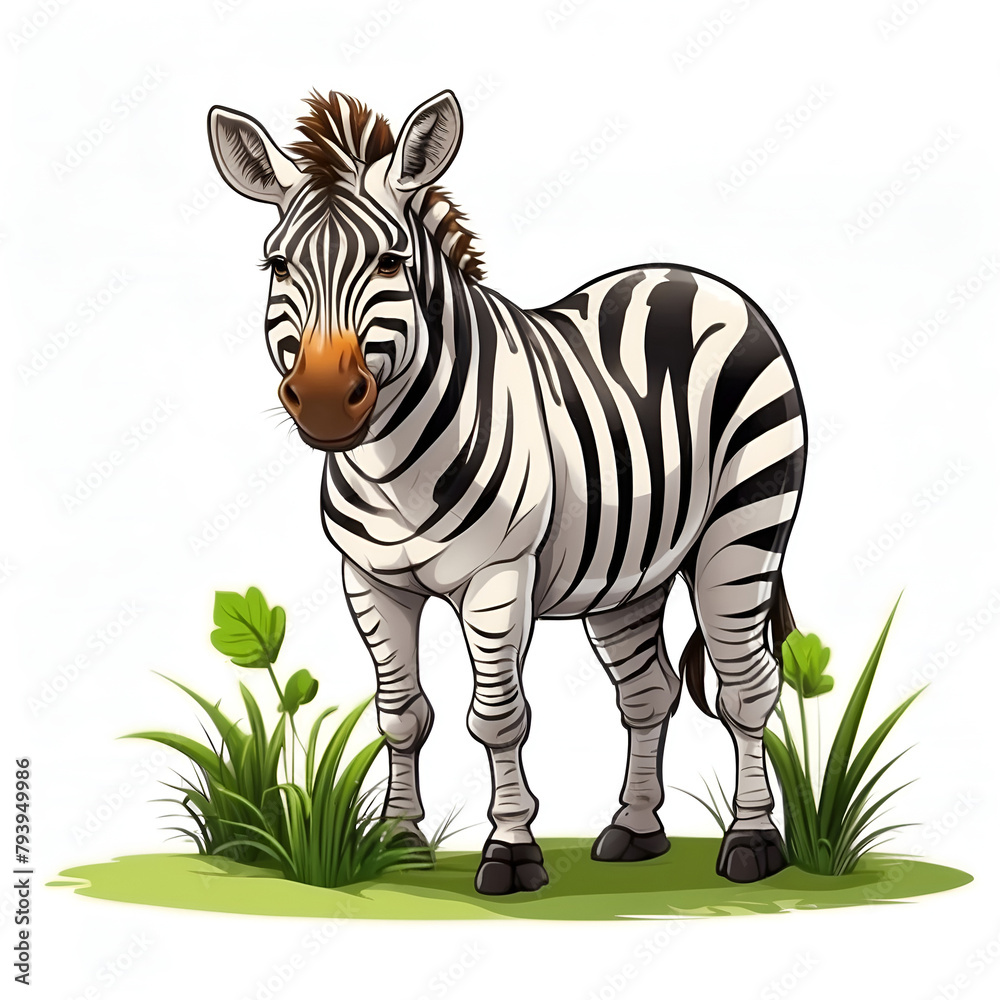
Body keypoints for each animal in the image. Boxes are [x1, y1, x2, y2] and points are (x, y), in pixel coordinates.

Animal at [207, 89, 806, 895]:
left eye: (392, 259)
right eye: (276, 263)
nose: (327, 401)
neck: (393, 471)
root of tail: (684, 276)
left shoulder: (499, 576)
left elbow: (497, 716)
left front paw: (512, 852)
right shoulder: (369, 578)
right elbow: (401, 713)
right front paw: (400, 841)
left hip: (740, 531)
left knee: (747, 686)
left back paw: (751, 842)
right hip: (631, 571)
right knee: (648, 690)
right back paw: (633, 829)